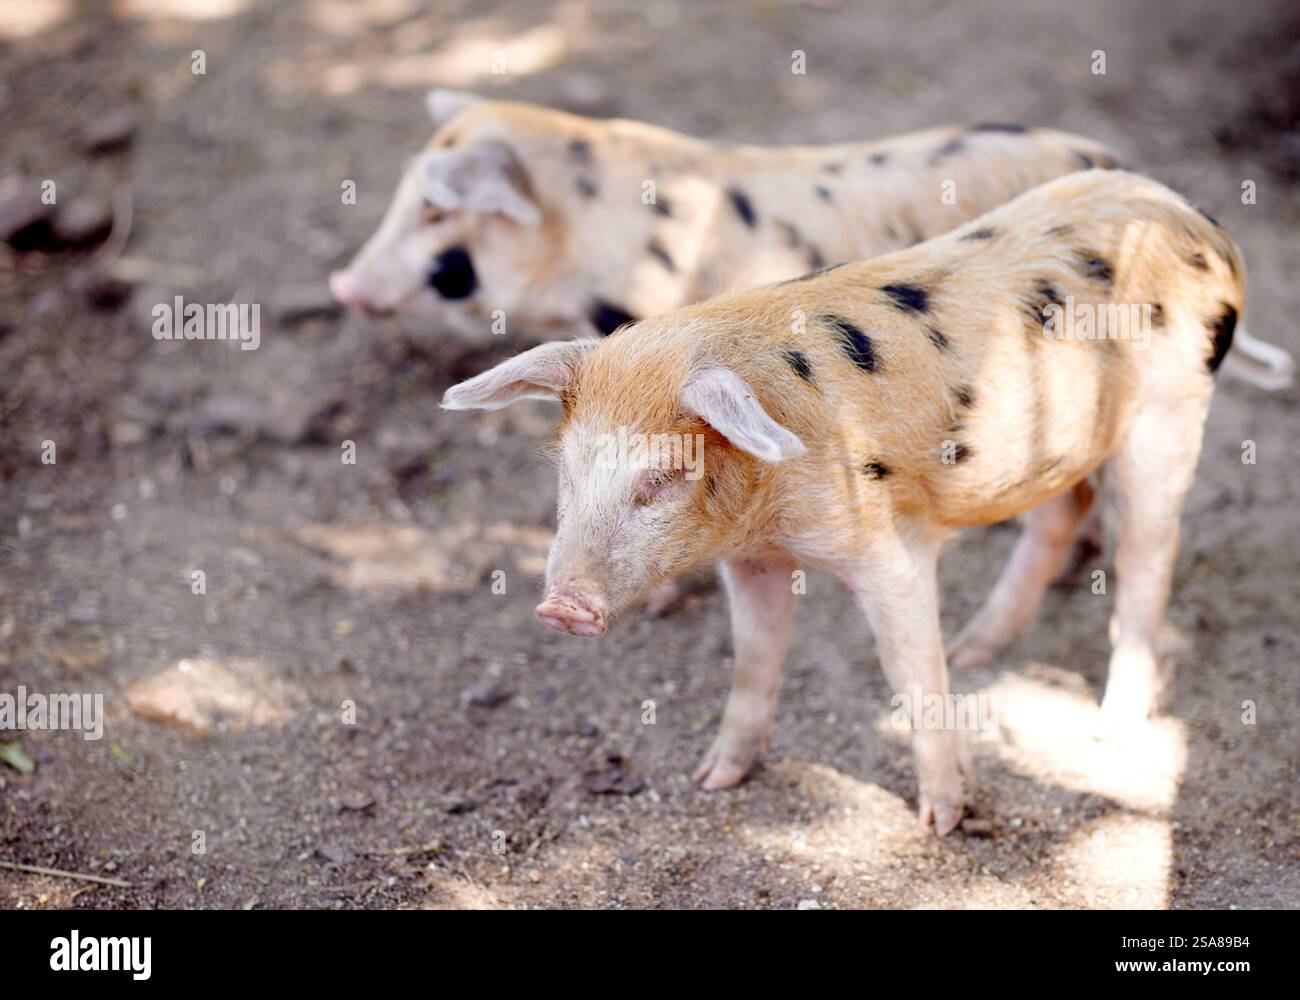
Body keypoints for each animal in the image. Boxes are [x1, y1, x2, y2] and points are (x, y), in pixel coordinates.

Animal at [440, 169, 1272, 834]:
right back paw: (977, 648)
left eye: (662, 478)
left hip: (1171, 413)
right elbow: (755, 655)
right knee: (1060, 513)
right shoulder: (752, 561)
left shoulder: (886, 548)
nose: (561, 607)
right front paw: (714, 778)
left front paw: (943, 821)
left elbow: (908, 669)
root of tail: (1196, 219)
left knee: (1148, 554)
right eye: (567, 469)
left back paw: (1108, 727)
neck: (768, 516)